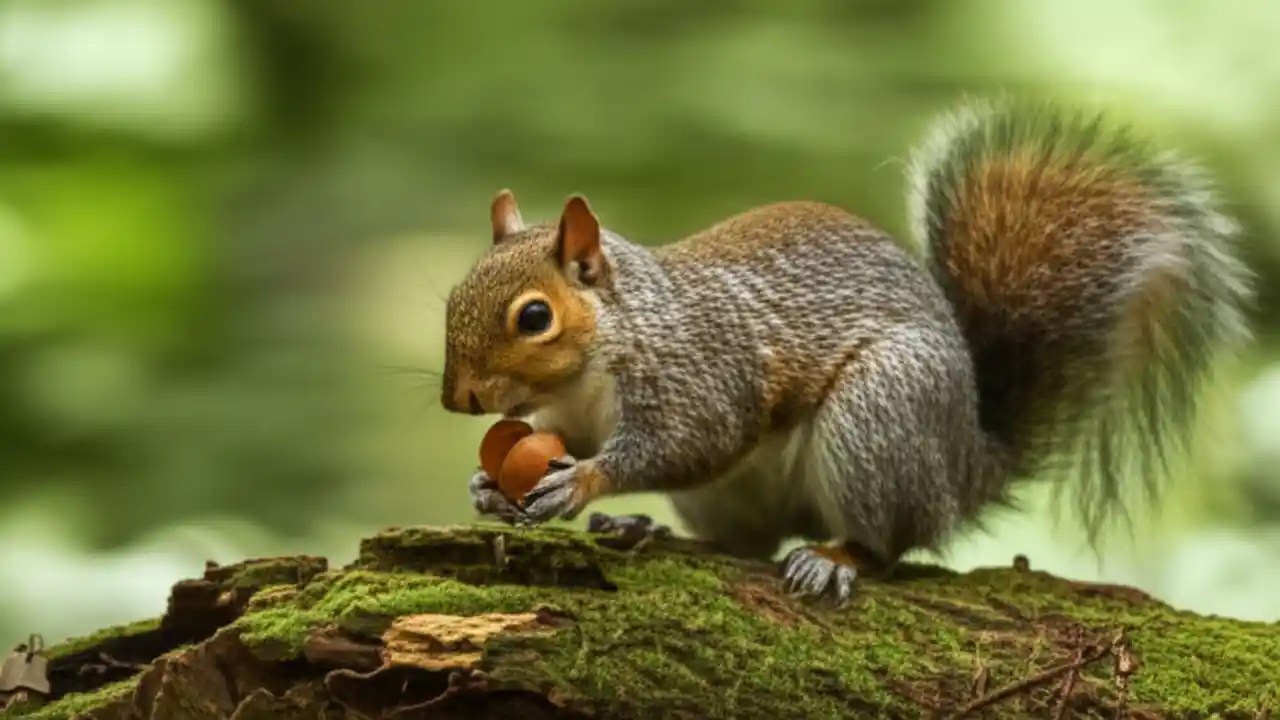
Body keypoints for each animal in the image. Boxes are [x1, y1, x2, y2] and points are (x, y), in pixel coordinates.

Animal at [440, 100, 1252, 602]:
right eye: (450, 297)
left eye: (535, 316)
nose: (460, 399)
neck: (601, 353)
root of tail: (965, 464)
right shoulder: (572, 415)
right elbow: (566, 442)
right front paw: (489, 487)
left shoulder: (704, 370)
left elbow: (692, 440)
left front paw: (581, 483)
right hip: (737, 492)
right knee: (745, 544)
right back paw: (646, 530)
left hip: (879, 419)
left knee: (887, 543)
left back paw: (835, 557)